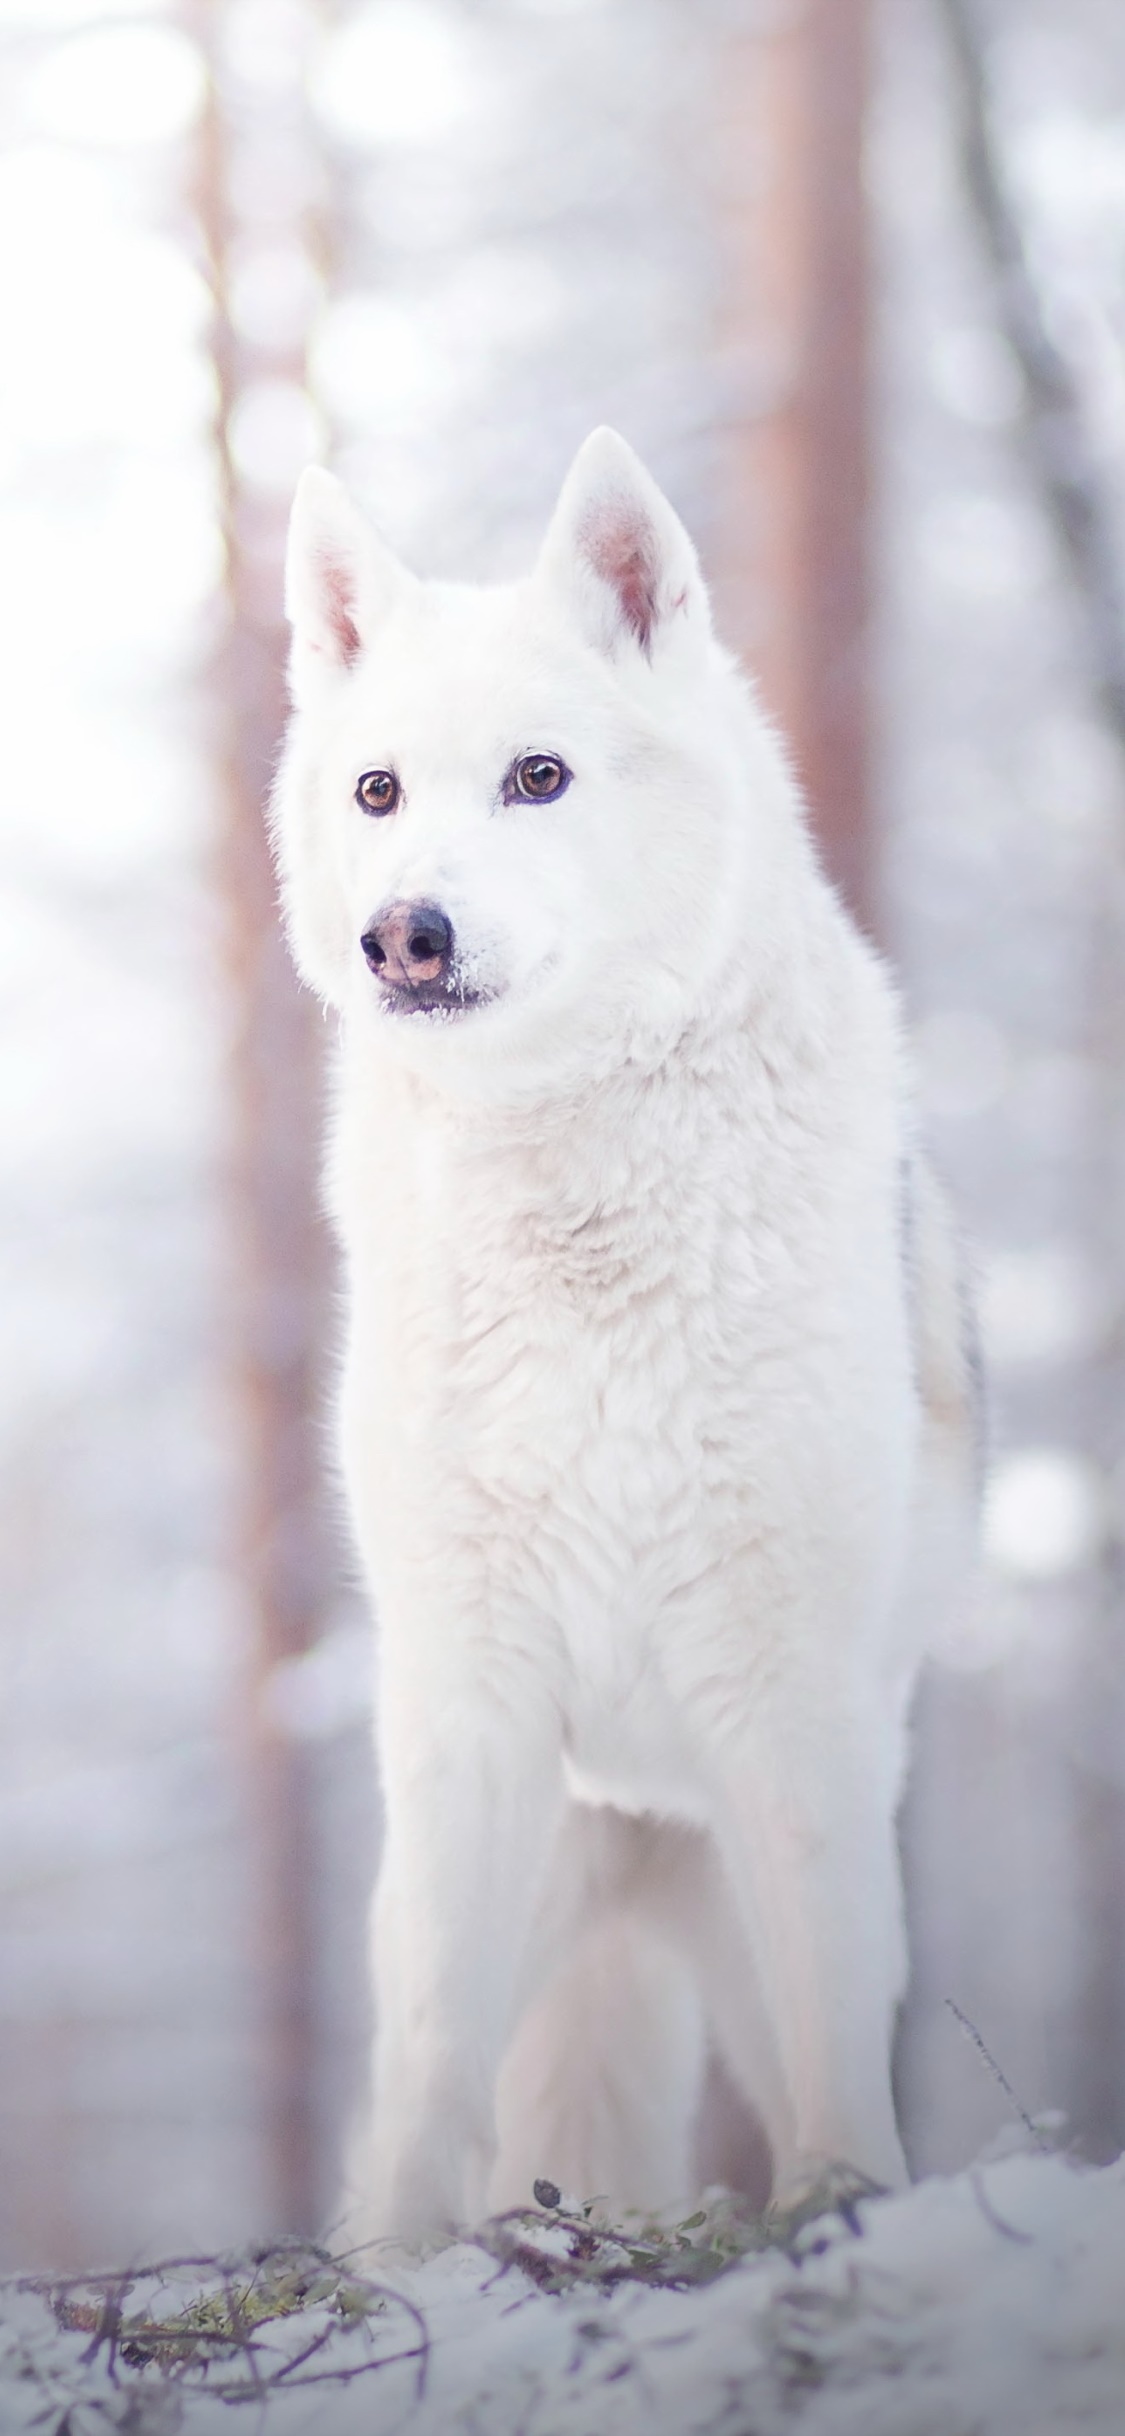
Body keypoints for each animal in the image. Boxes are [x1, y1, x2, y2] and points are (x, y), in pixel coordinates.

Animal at [271, 428, 976, 2241]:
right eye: (377, 794)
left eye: (540, 777)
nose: (406, 934)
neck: (573, 1212)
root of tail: (641, 1843)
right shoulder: (469, 1703)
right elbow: (430, 2054)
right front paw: (401, 2264)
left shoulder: (788, 1702)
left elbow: (831, 2033)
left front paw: (838, 2209)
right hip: (530, 1880)